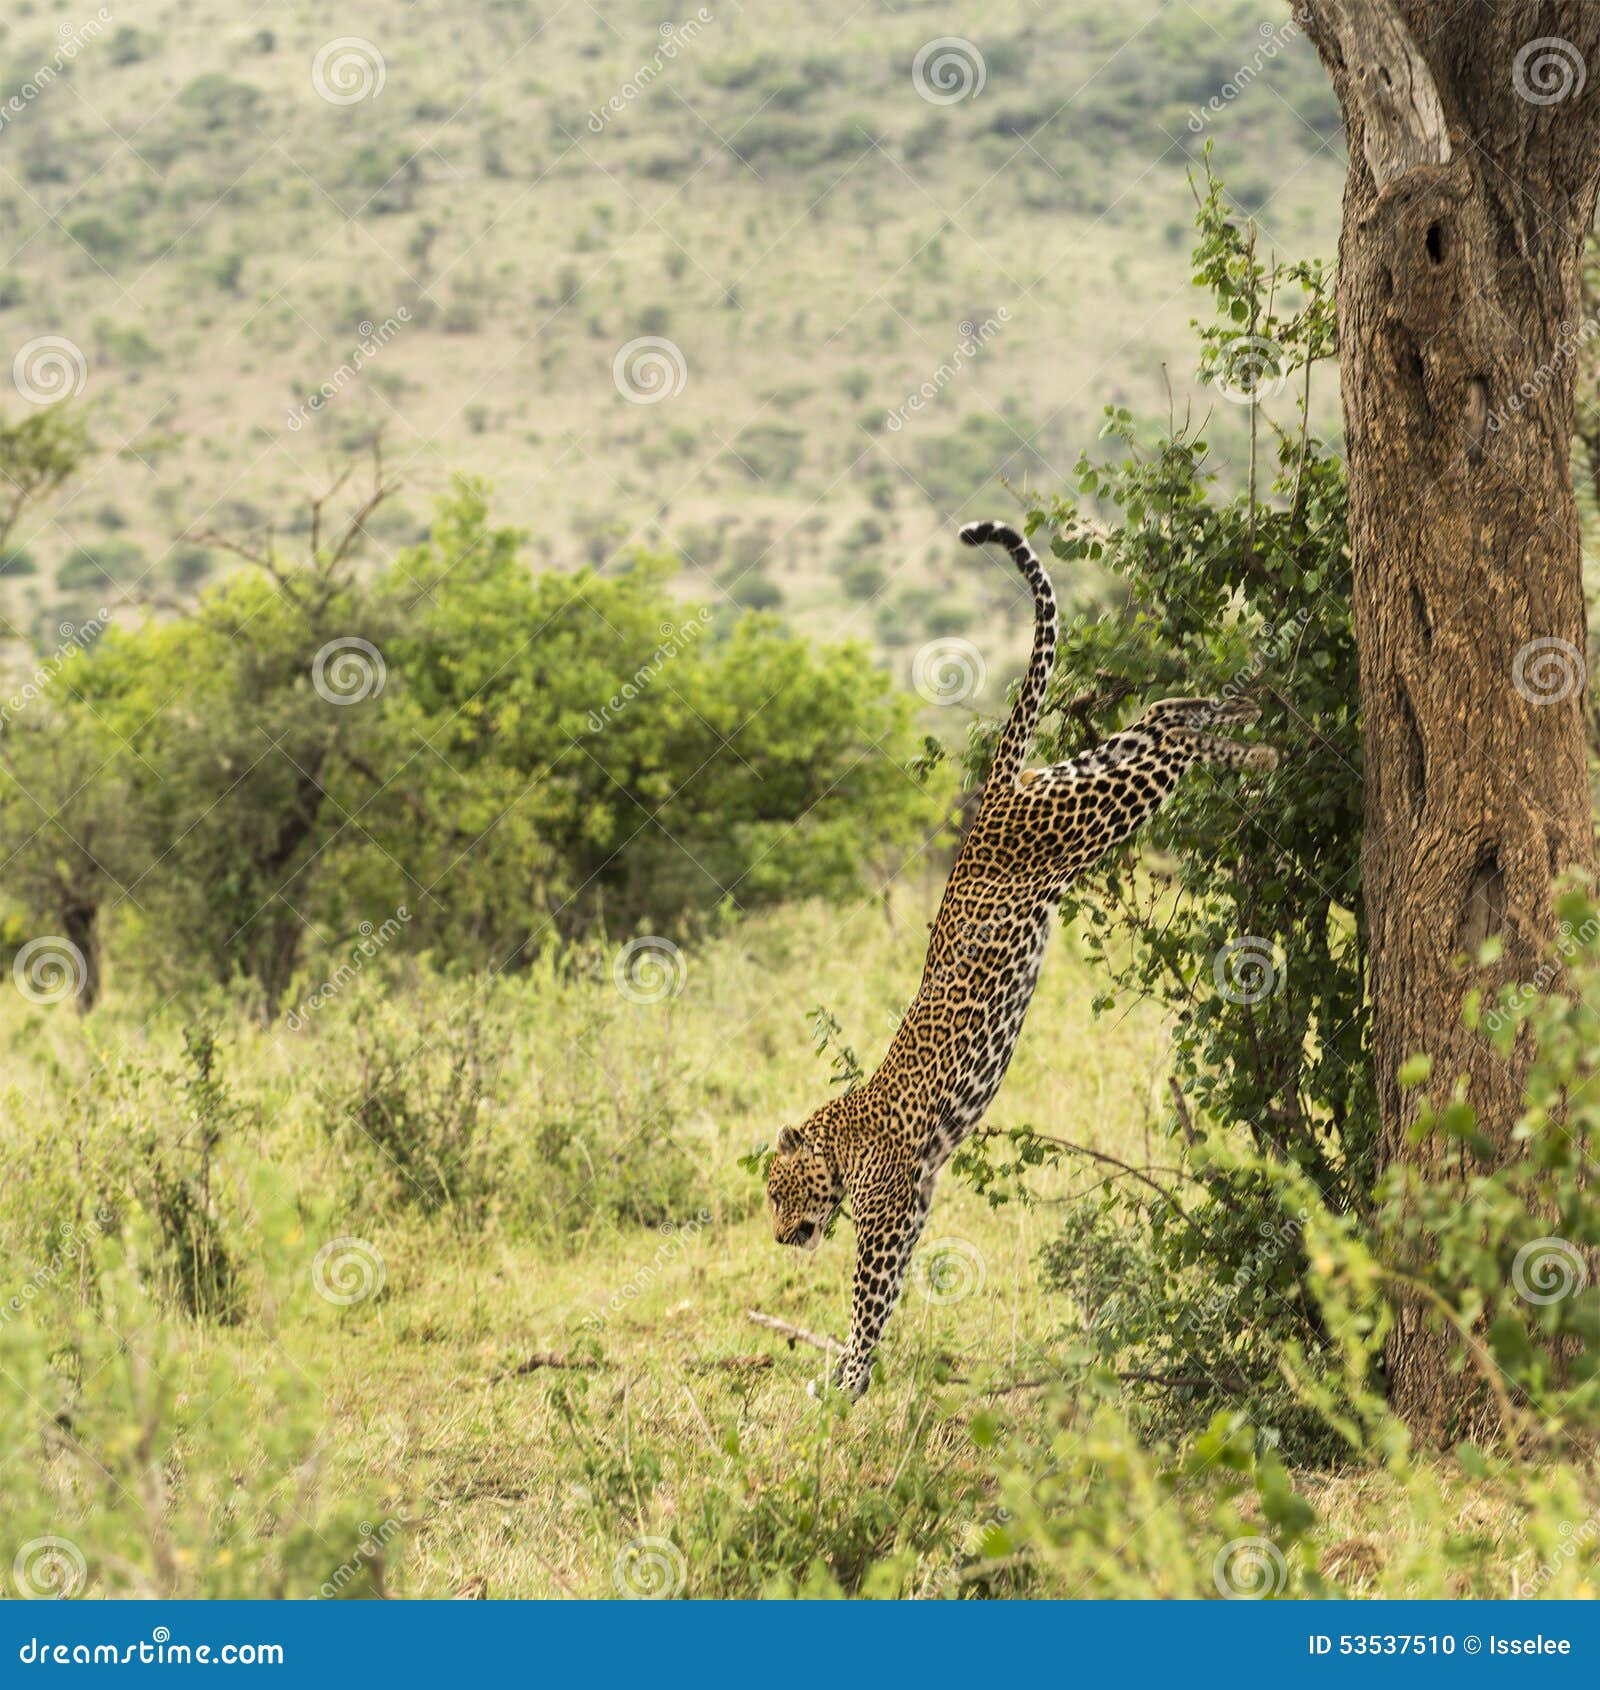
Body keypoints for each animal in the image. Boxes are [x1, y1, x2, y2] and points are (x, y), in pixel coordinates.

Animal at [766, 517, 1278, 1400]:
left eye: (773, 1190)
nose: (773, 1237)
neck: (839, 1144)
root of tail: (992, 799)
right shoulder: (916, 1206)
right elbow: (888, 1296)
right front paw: (855, 1374)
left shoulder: (890, 1210)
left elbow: (866, 1295)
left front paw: (846, 1379)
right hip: (1077, 782)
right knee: (1158, 713)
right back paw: (1250, 718)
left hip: (1085, 816)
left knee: (1169, 733)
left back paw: (1257, 741)